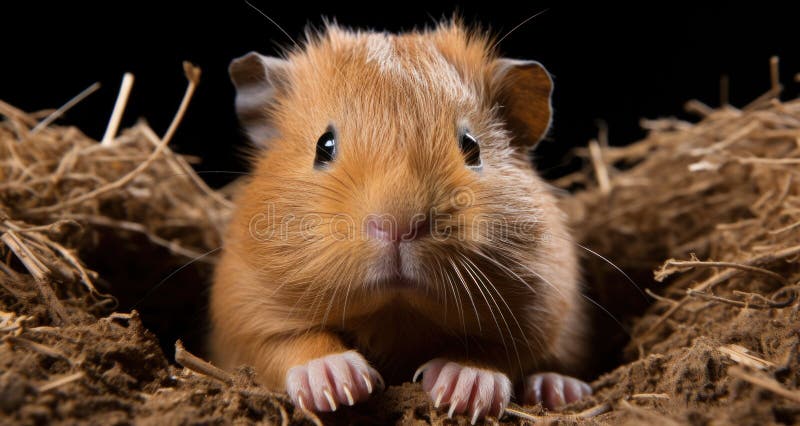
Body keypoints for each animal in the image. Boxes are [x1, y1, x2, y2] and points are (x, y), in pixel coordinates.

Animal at [209, 21, 590, 422]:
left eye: (472, 147)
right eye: (323, 146)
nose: (398, 226)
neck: (397, 311)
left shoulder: (546, 301)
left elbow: (494, 353)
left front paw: (460, 389)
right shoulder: (241, 305)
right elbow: (290, 344)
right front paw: (341, 385)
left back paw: (558, 389)